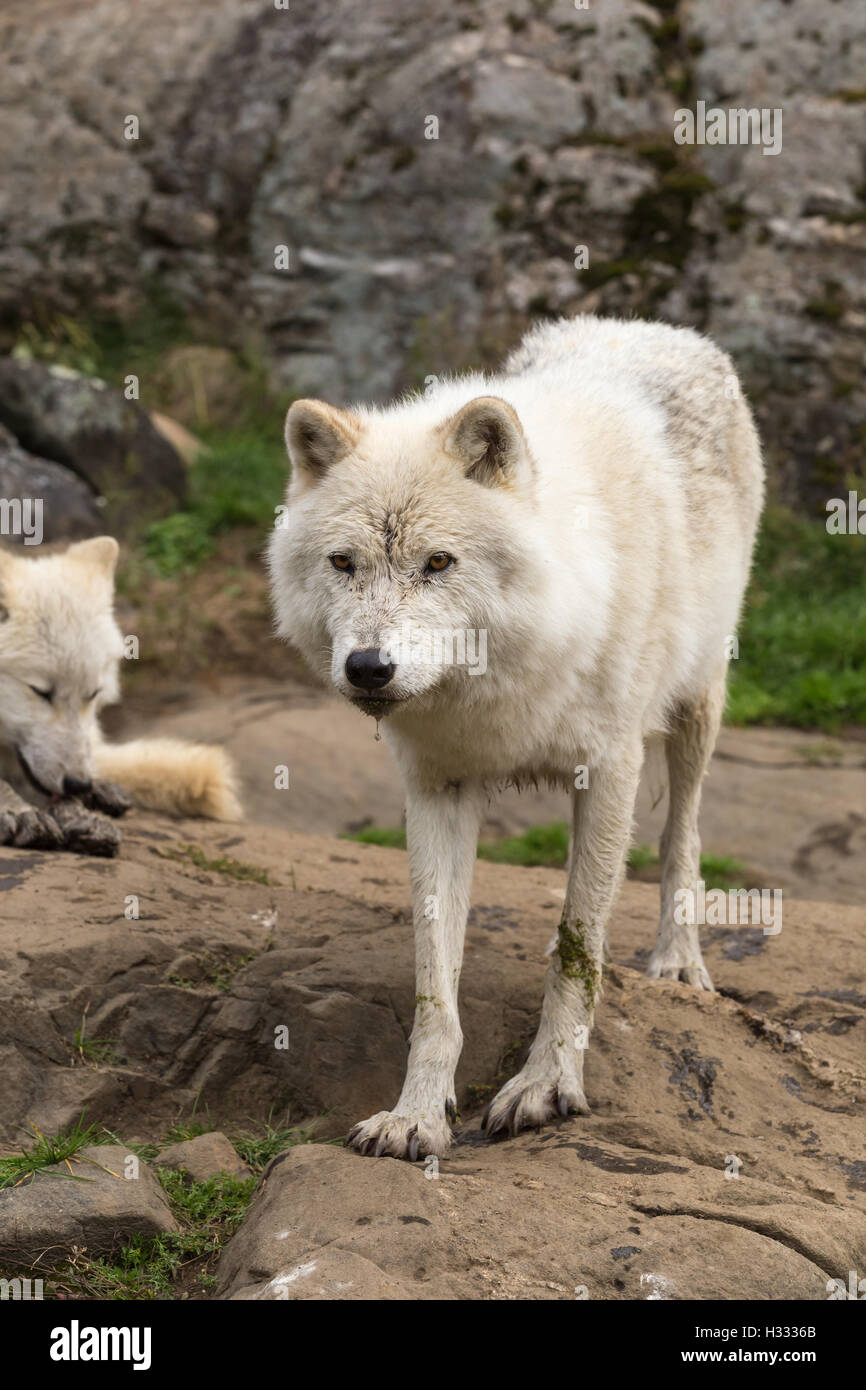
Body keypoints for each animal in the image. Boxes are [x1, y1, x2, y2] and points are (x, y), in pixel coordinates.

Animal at [269, 315, 764, 1159]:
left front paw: (547, 1086)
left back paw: (677, 960)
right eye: (343, 563)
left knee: (681, 834)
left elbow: (577, 946)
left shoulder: (609, 771)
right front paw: (415, 1115)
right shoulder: (436, 786)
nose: (369, 668)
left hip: (697, 703)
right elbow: (436, 985)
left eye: (438, 562)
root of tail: (650, 327)